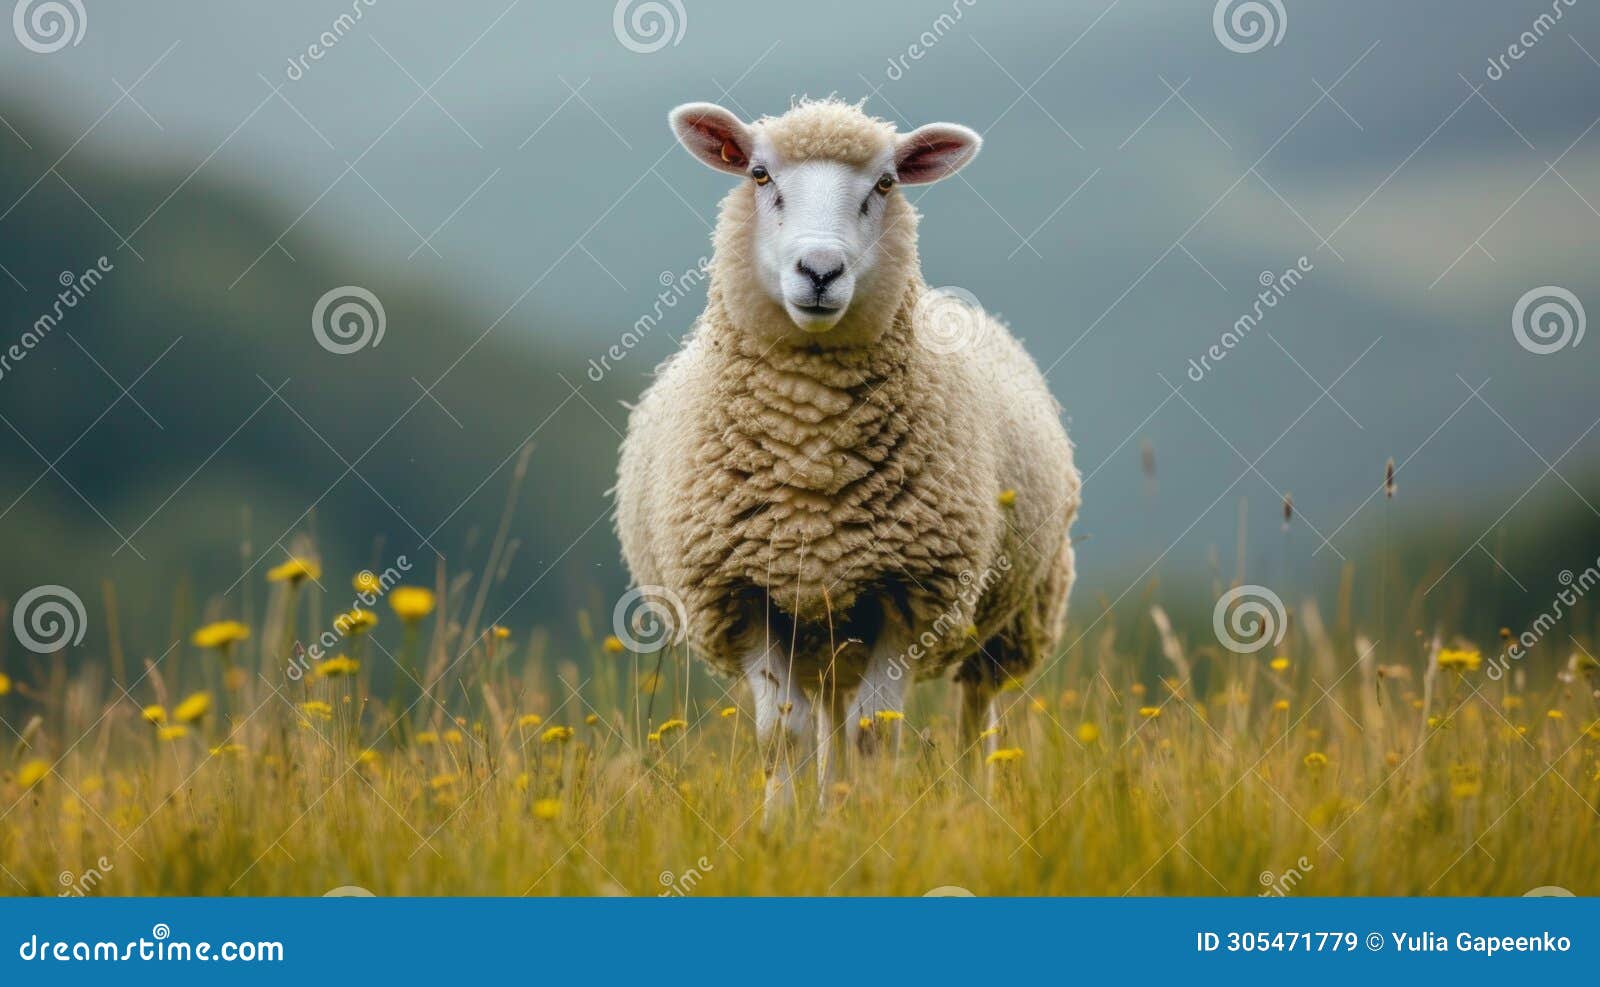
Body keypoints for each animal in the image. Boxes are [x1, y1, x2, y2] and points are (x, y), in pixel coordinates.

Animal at [615, 98, 1080, 817]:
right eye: (758, 174)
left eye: (885, 184)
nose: (820, 271)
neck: (812, 454)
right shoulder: (745, 596)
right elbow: (783, 732)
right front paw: (783, 828)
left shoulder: (909, 593)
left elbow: (874, 733)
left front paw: (874, 822)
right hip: (828, 636)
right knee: (828, 719)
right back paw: (830, 811)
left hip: (1012, 614)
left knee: (976, 716)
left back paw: (974, 807)